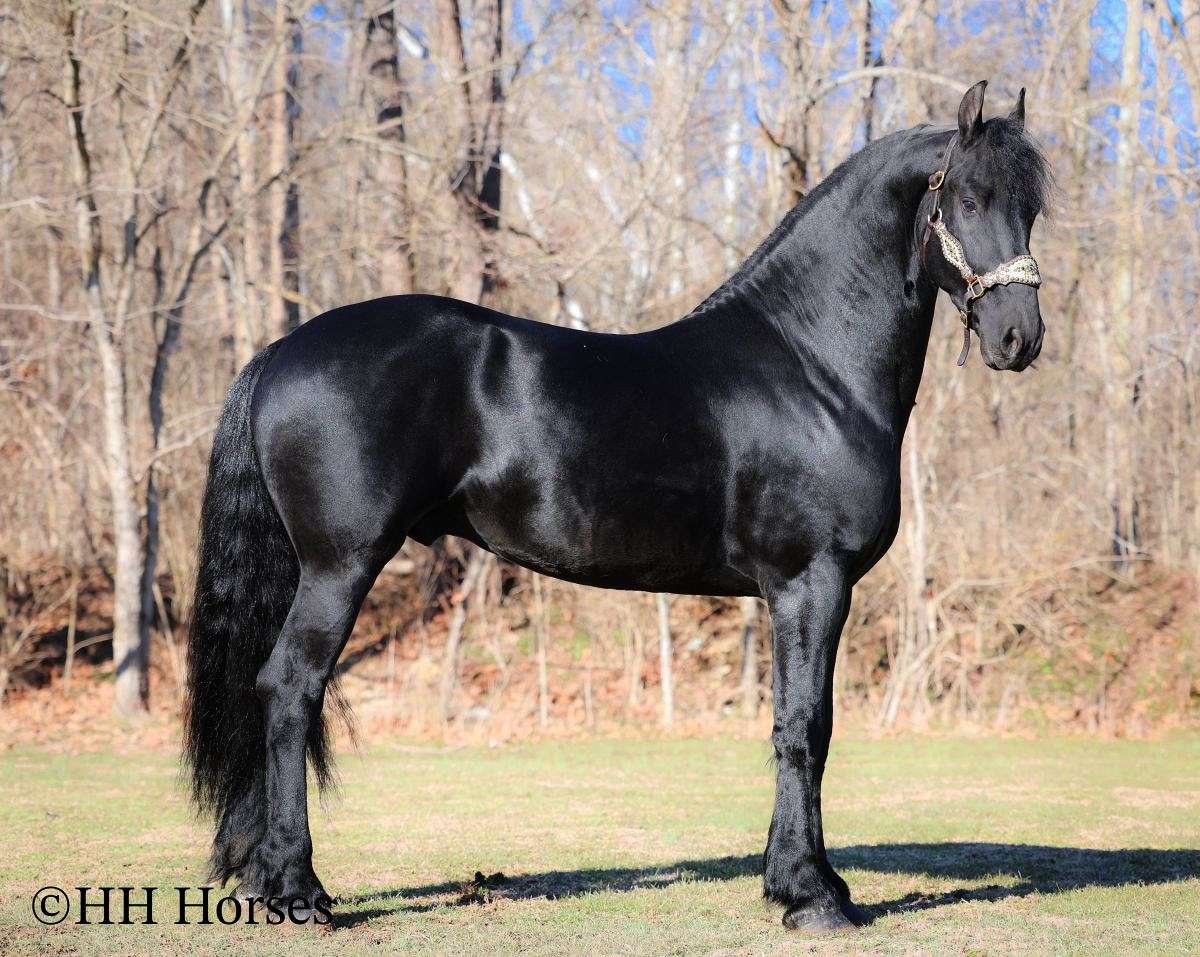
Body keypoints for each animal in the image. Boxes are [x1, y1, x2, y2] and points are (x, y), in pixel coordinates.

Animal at [185, 79, 1049, 932]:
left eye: (1032, 207)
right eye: (968, 197)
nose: (1020, 338)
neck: (811, 363)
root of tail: (278, 351)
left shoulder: (796, 592)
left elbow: (789, 721)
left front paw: (786, 880)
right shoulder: (812, 580)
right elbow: (806, 727)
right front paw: (815, 894)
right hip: (340, 565)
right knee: (289, 688)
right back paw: (298, 888)